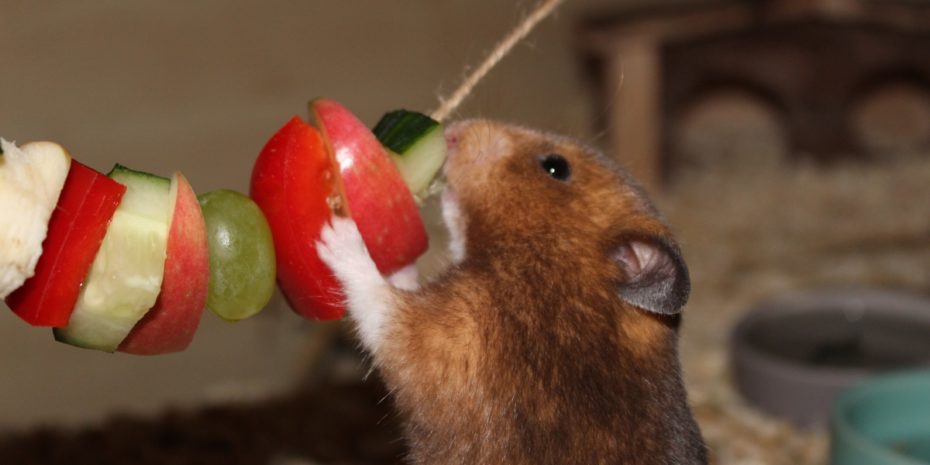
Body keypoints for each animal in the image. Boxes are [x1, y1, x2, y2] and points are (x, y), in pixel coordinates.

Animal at [316, 120, 707, 465]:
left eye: (555, 167)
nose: (454, 131)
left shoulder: (446, 336)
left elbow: (378, 299)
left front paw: (337, 233)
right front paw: (401, 266)